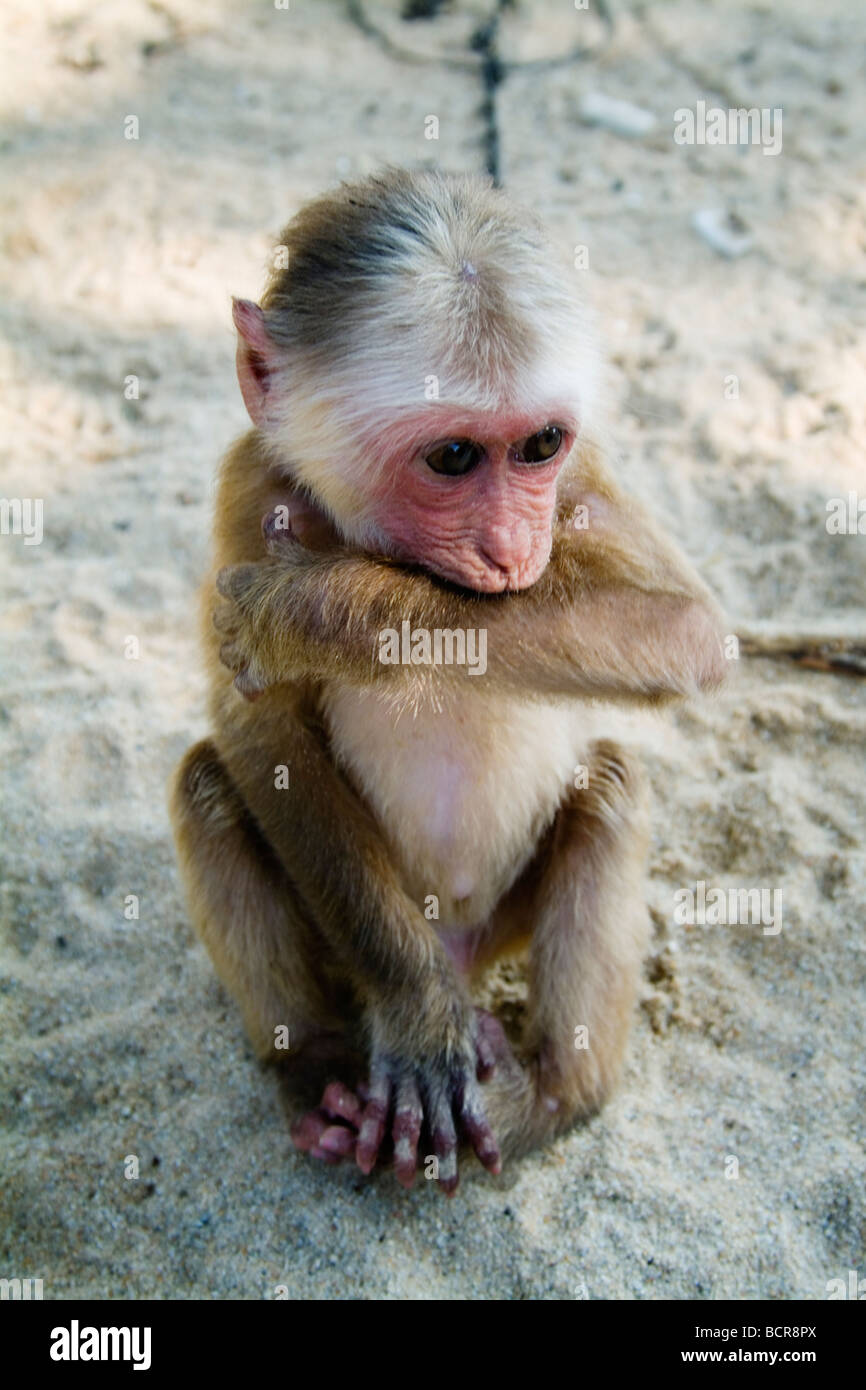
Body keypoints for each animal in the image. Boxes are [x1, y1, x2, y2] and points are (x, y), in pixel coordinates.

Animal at [170, 169, 726, 1194]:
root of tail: (468, 954)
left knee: (612, 785)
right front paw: (416, 1016)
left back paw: (551, 1093)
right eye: (455, 457)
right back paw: (319, 1065)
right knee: (206, 783)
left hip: (503, 921)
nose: (511, 549)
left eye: (540, 445)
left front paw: (322, 612)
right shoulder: (250, 484)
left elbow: (686, 631)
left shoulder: (581, 476)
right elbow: (259, 736)